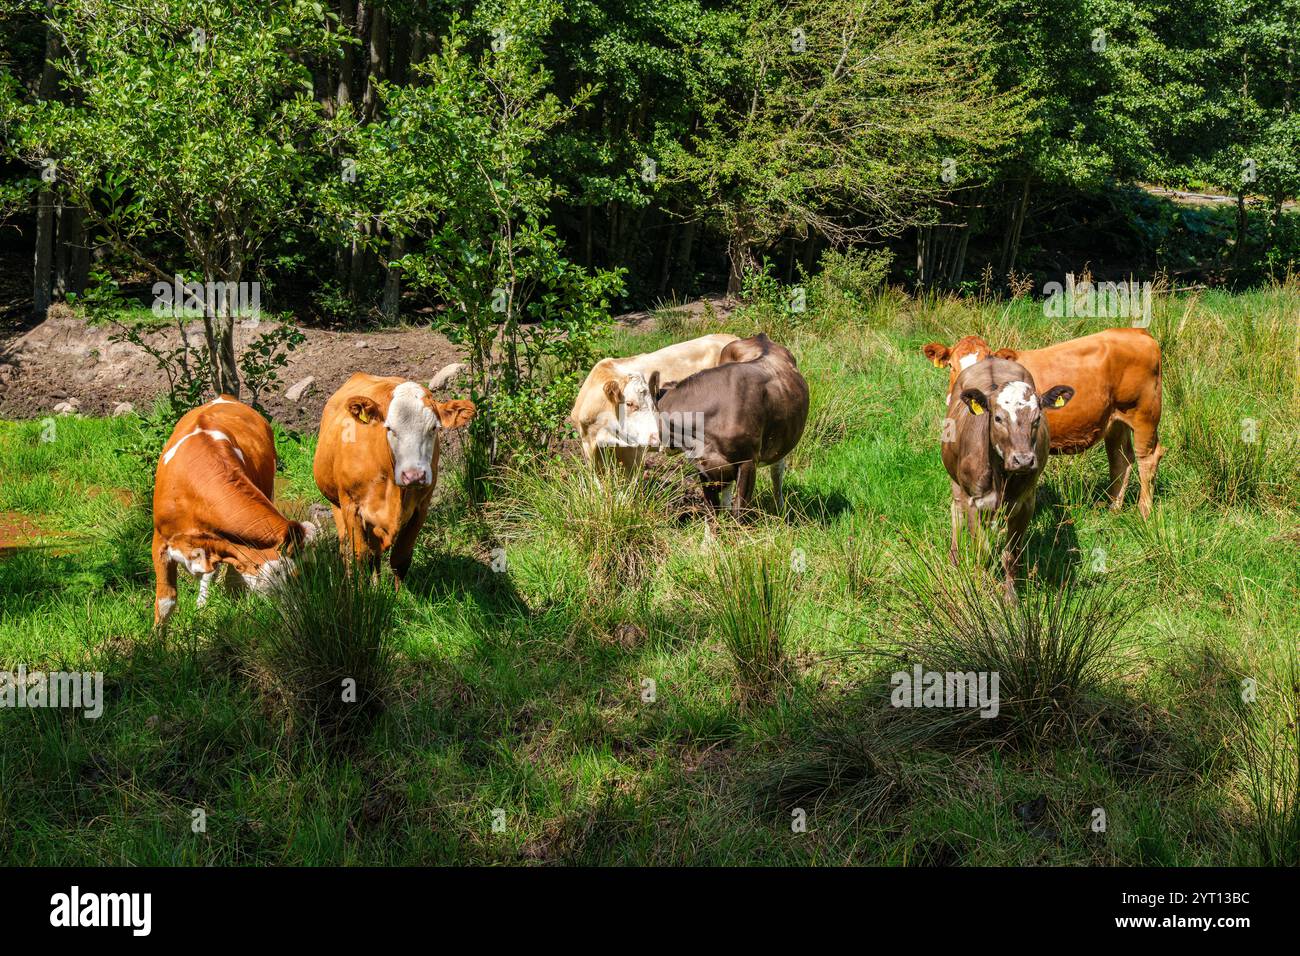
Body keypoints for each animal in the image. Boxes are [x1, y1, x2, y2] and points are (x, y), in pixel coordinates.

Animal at [152, 396, 316, 626]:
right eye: (291, 575)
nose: (300, 619)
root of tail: (225, 397)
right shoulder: (160, 541)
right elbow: (166, 603)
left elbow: (230, 581)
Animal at [313, 373, 474, 585]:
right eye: (389, 428)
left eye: (433, 428)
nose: (414, 475)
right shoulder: (351, 506)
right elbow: (360, 555)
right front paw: (362, 592)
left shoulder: (421, 508)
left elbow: (400, 558)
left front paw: (395, 593)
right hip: (336, 504)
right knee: (346, 547)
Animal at [655, 333, 809, 515]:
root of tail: (760, 337)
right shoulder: (704, 468)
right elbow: (712, 509)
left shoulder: (748, 462)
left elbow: (739, 509)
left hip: (781, 444)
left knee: (777, 473)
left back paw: (781, 510)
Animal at [922, 327, 1164, 517]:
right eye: (951, 365)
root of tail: (1138, 332)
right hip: (1115, 421)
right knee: (1121, 460)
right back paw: (1114, 508)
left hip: (1144, 415)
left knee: (1148, 458)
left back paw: (1143, 512)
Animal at [941, 357, 1075, 600]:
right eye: (997, 417)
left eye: (1037, 418)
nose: (1023, 460)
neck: (1000, 476)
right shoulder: (973, 500)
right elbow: (982, 550)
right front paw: (980, 589)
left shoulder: (1025, 503)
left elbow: (1011, 556)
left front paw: (1010, 598)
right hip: (956, 481)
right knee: (956, 512)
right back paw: (954, 557)